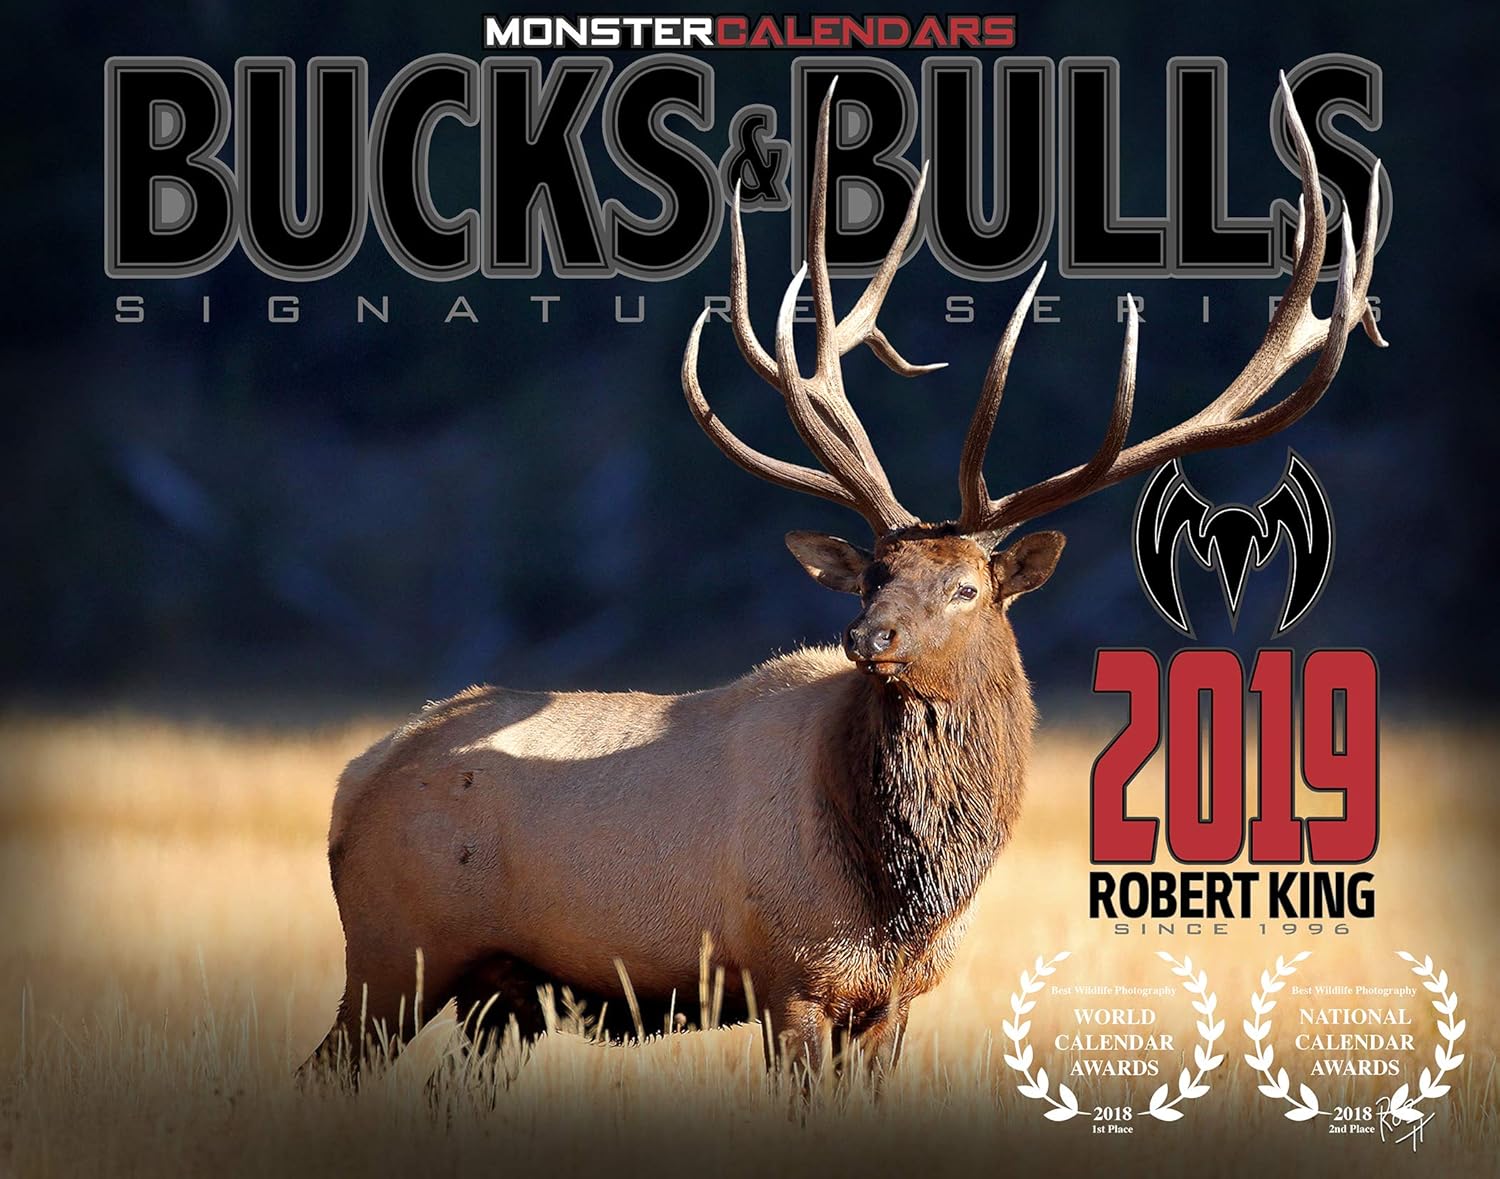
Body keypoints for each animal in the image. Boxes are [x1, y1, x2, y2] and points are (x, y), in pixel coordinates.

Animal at [310, 76, 1384, 1083]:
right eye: (872, 573)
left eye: (967, 587)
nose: (868, 639)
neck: (904, 898)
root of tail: (353, 783)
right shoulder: (789, 977)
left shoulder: (894, 1000)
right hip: (394, 955)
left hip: (502, 993)